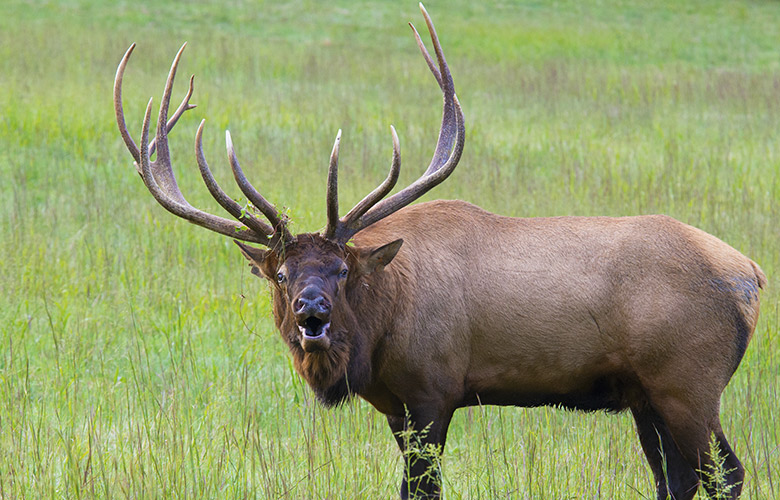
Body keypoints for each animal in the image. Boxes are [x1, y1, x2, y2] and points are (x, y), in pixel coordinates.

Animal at [113, 4, 765, 499]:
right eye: (280, 274)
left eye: (342, 270)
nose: (310, 313)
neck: (379, 333)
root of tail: (751, 276)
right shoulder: (395, 407)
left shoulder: (434, 390)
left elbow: (422, 490)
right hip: (645, 394)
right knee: (679, 480)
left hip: (689, 382)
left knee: (727, 474)